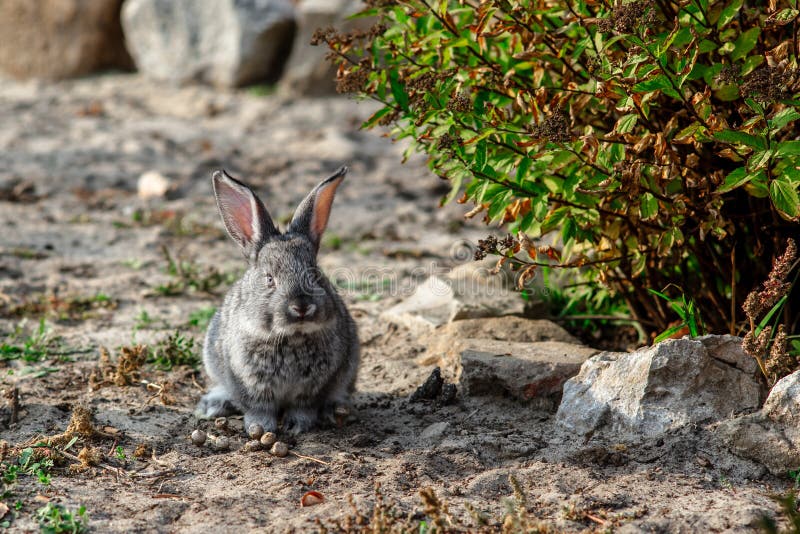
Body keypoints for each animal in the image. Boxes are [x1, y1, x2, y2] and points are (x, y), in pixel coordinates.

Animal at [195, 166, 359, 434]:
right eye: (269, 279)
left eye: (315, 274)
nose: (301, 307)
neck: (291, 336)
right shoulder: (249, 383)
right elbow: (258, 407)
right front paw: (260, 428)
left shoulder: (313, 387)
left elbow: (303, 407)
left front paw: (296, 426)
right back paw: (214, 405)